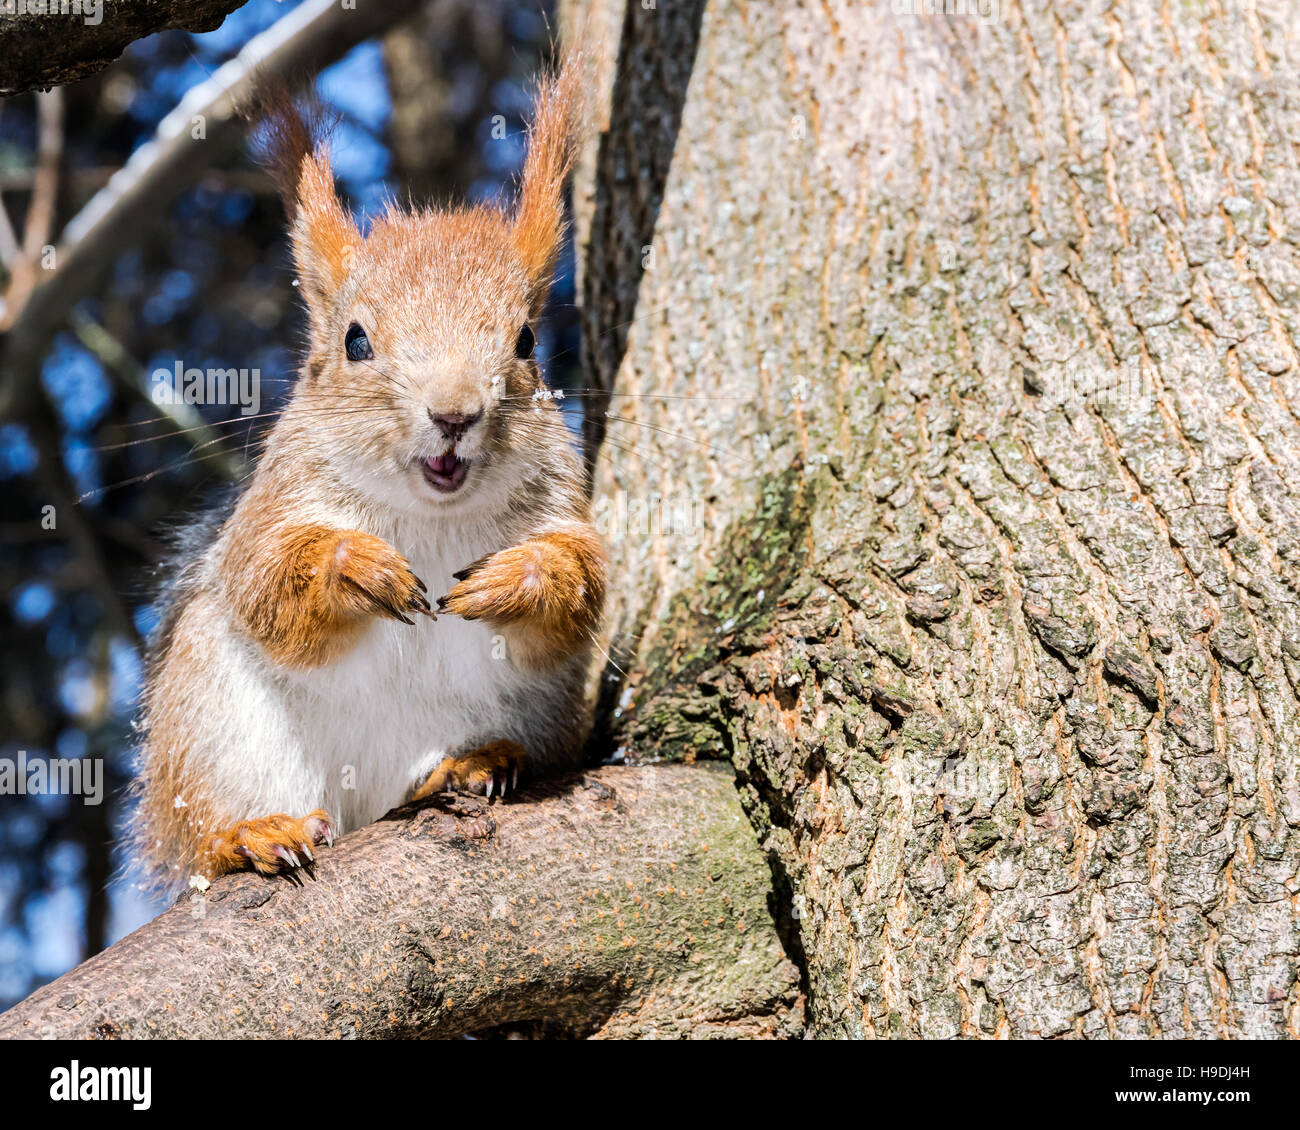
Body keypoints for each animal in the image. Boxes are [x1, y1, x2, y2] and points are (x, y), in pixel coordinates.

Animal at [130, 39, 605, 887]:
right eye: (355, 341)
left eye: (525, 341)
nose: (454, 414)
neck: (428, 513)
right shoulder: (271, 511)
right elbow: (268, 585)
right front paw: (356, 568)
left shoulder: (566, 509)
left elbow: (580, 589)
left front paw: (519, 577)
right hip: (212, 731)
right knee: (209, 834)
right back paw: (250, 834)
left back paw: (470, 762)